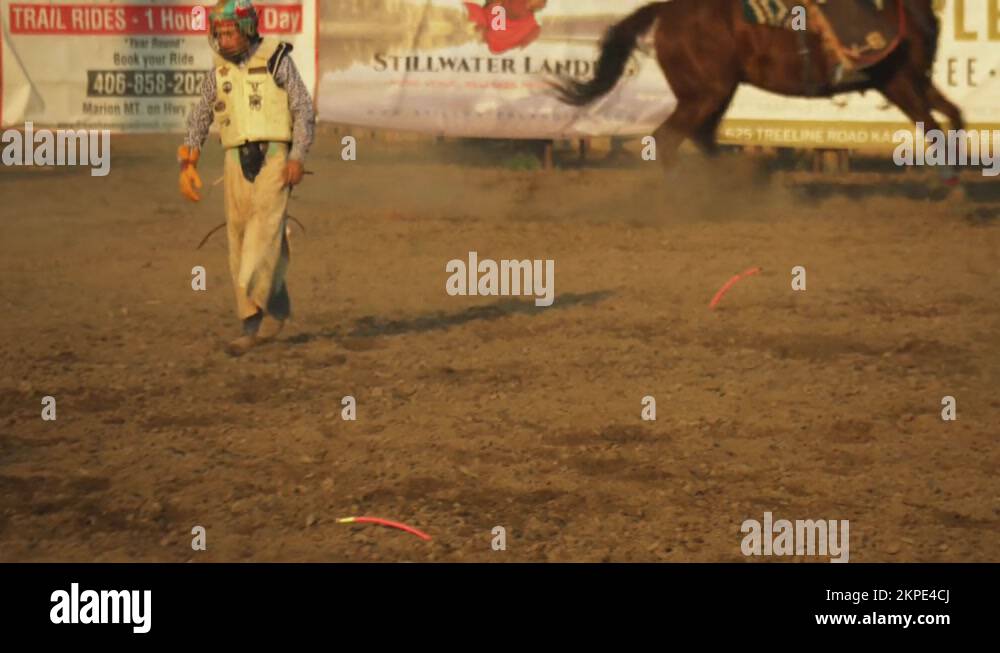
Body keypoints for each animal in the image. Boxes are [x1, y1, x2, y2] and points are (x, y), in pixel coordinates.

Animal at [550, 0, 963, 182]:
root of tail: (665, 9)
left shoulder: (917, 79)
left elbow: (954, 115)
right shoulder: (897, 81)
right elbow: (932, 128)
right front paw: (949, 177)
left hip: (716, 91)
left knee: (701, 138)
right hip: (705, 93)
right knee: (668, 138)